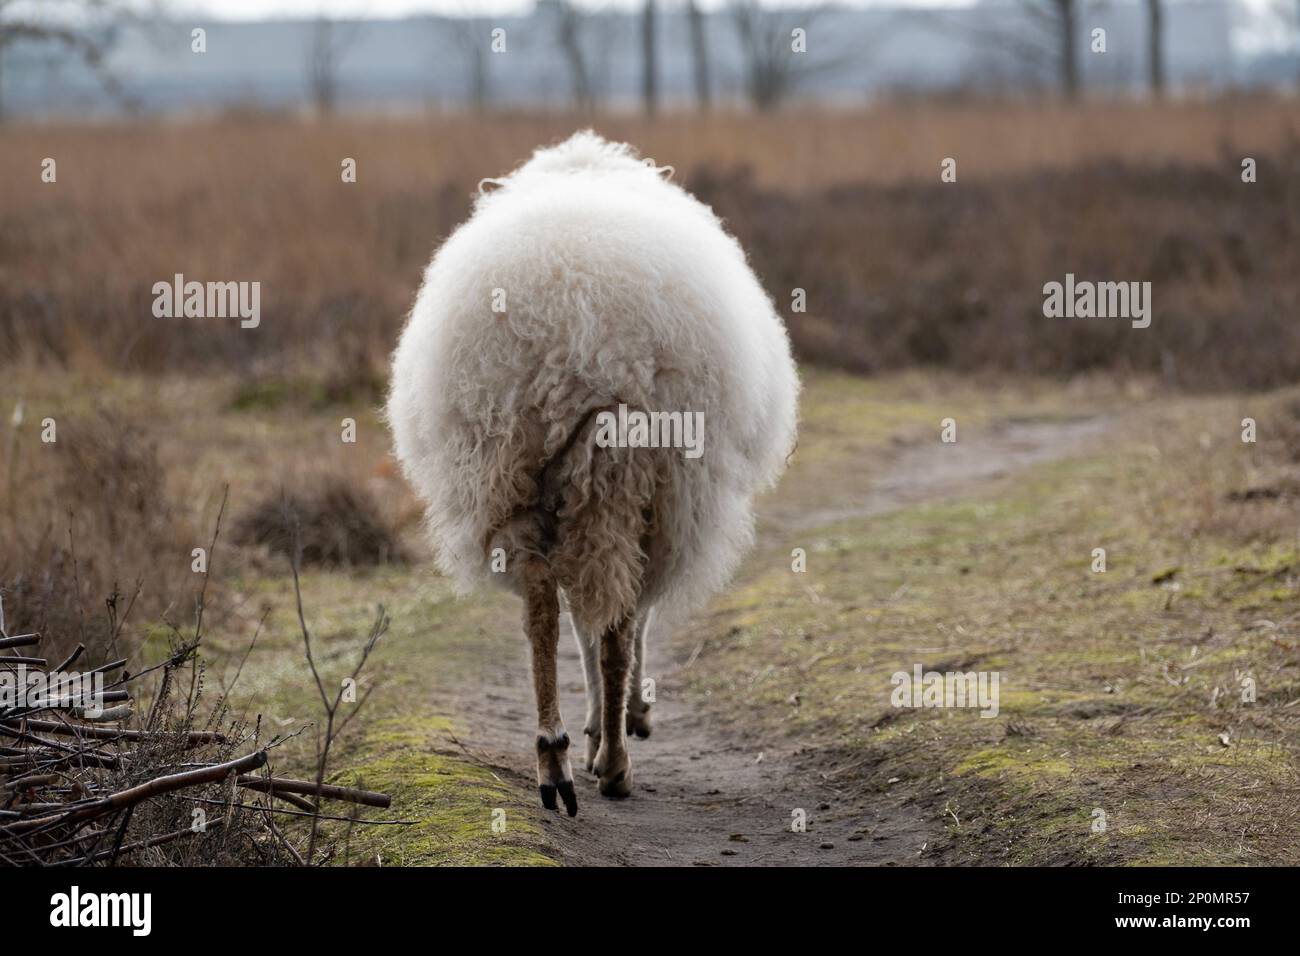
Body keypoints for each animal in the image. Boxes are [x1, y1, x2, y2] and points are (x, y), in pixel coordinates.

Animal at [386, 131, 799, 817]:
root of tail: (576, 322)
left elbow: (576, 617)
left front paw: (591, 728)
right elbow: (625, 623)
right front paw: (624, 717)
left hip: (508, 470)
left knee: (542, 607)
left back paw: (552, 756)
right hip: (646, 477)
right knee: (618, 622)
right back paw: (613, 761)